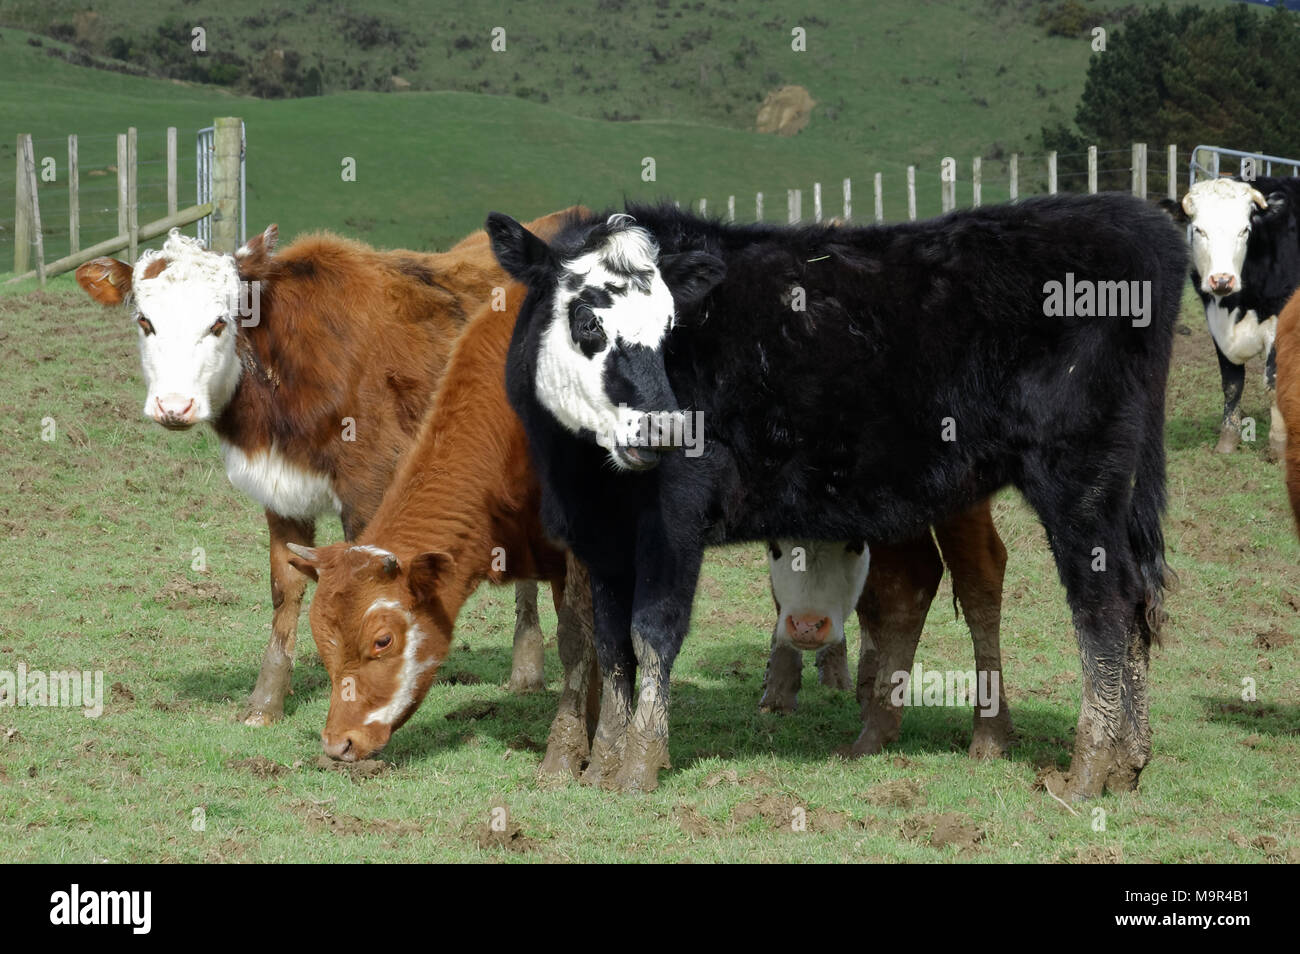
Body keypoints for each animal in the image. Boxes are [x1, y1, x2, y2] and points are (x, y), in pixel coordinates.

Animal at [73, 211, 578, 726]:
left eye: (218, 323)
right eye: (145, 321)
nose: (174, 406)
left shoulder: (370, 488)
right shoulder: (280, 490)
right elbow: (286, 587)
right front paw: (266, 702)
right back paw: (527, 670)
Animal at [1168, 176, 1300, 456]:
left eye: (1244, 230)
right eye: (1199, 230)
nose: (1221, 280)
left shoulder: (1278, 324)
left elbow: (1272, 382)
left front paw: (1278, 446)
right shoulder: (1216, 325)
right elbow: (1231, 384)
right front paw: (1228, 440)